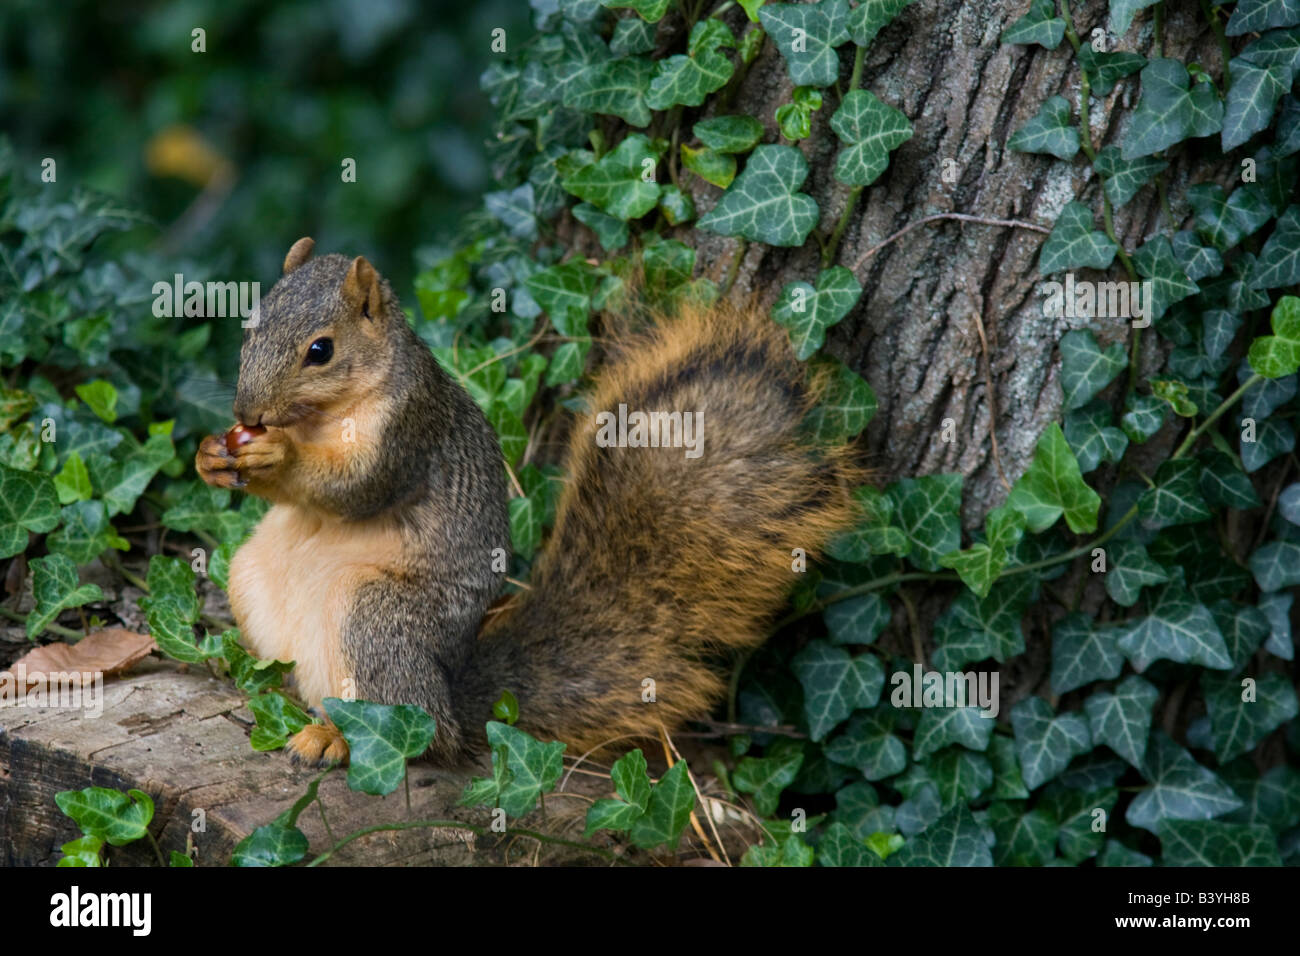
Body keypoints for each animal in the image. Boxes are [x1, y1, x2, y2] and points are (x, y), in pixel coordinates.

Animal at [196, 237, 860, 766]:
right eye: (249, 327)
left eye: (321, 350)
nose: (248, 413)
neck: (321, 419)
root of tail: (454, 689)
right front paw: (211, 456)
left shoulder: (408, 429)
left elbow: (358, 488)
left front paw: (276, 457)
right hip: (248, 577)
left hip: (376, 616)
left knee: (425, 734)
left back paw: (339, 737)